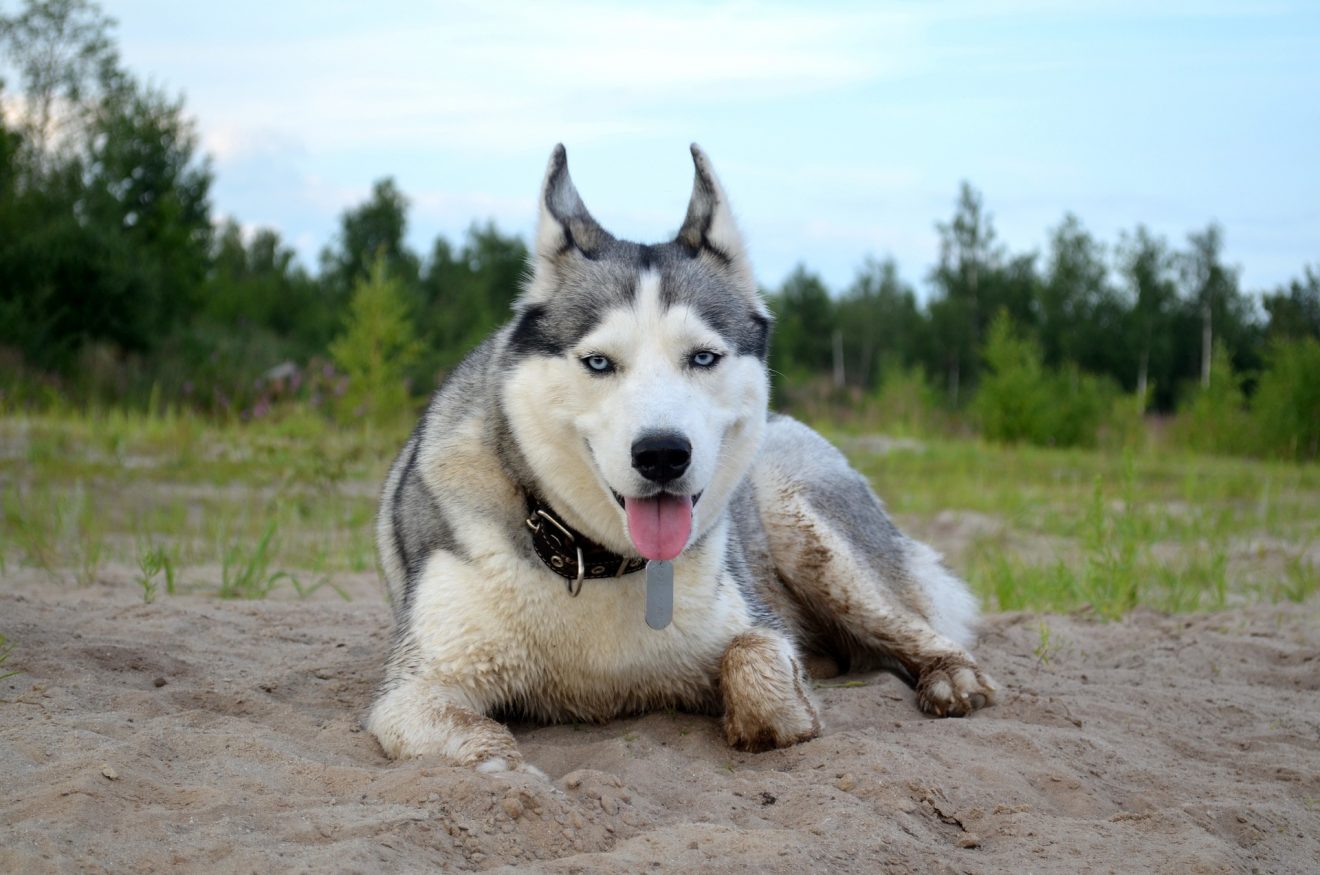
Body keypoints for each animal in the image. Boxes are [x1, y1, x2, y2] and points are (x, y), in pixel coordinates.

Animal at [367, 144, 996, 774]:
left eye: (703, 357)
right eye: (599, 362)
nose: (663, 454)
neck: (595, 561)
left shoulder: (755, 624)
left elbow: (757, 666)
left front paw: (783, 713)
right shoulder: (413, 690)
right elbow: (489, 757)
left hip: (810, 534)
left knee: (917, 626)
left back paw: (953, 677)